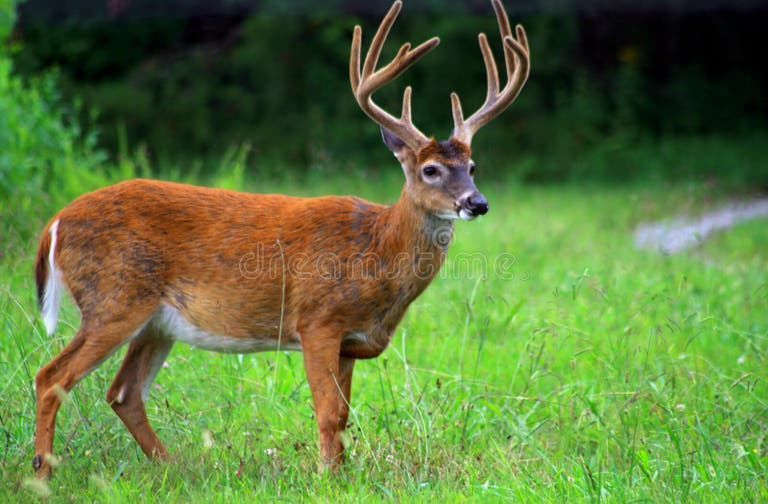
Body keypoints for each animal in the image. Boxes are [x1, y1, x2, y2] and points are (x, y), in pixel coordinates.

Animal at [30, 0, 530, 478]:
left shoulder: (350, 340)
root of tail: (55, 223)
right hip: (113, 298)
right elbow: (327, 414)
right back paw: (43, 472)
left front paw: (342, 474)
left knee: (123, 392)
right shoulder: (318, 320)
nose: (477, 202)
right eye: (430, 170)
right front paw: (327, 480)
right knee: (51, 377)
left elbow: (343, 418)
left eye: (473, 165)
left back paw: (175, 468)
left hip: (154, 321)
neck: (375, 249)